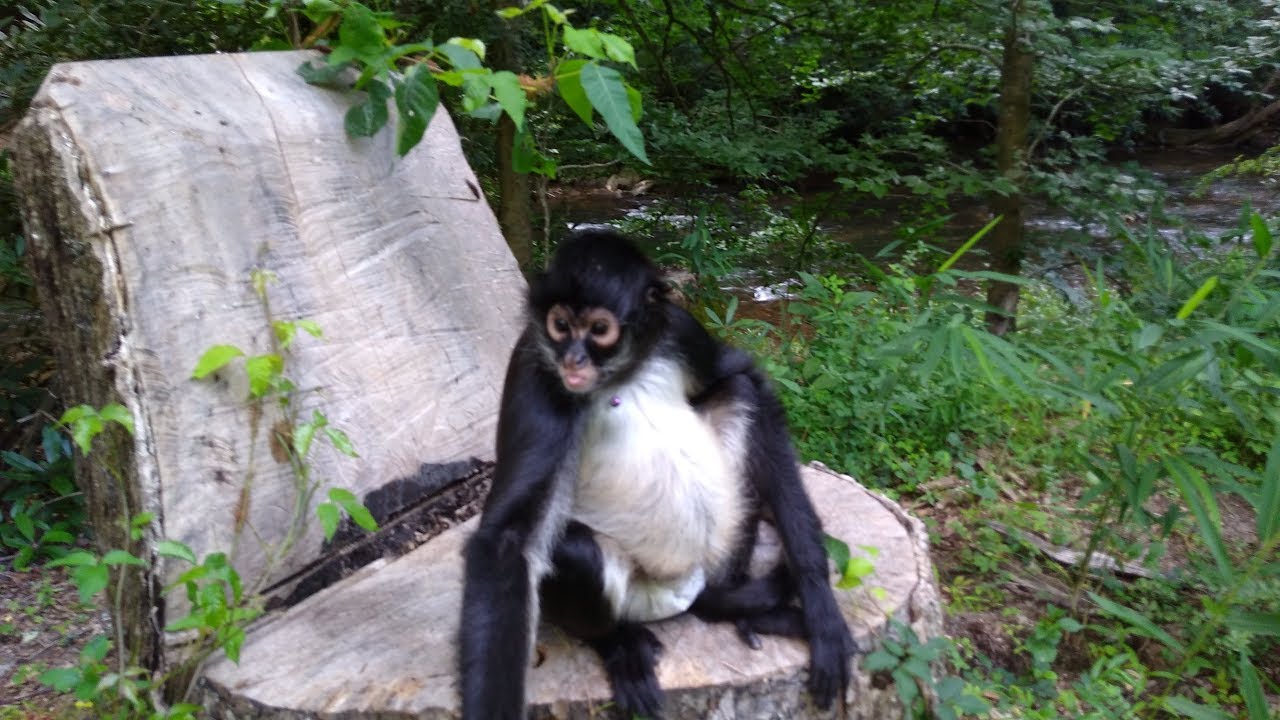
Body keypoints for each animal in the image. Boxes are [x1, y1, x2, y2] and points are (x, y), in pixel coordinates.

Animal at [459, 228, 856, 719]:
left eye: (599, 330)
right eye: (559, 325)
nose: (572, 359)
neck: (621, 375)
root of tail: (683, 594)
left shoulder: (679, 328)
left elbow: (750, 379)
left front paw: (821, 607)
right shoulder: (535, 365)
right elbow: (507, 541)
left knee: (737, 389)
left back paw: (734, 607)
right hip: (635, 594)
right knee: (574, 550)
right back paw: (620, 644)